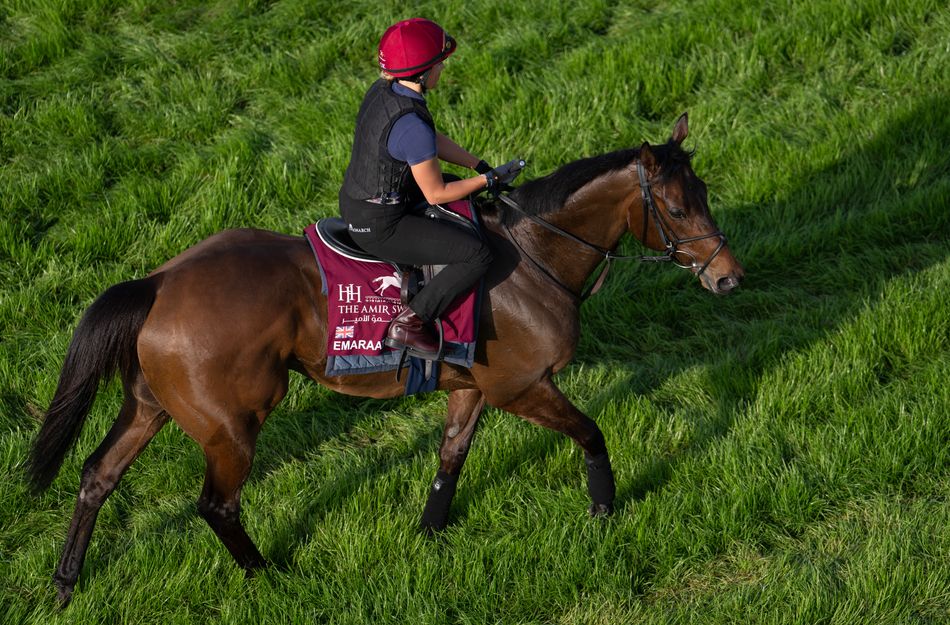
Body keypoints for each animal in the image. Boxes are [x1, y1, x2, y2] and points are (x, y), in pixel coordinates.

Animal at [26, 113, 744, 605]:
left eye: (706, 192)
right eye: (676, 207)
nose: (729, 279)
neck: (533, 256)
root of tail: (160, 281)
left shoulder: (471, 388)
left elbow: (450, 459)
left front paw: (429, 537)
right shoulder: (521, 386)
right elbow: (591, 433)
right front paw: (603, 509)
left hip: (150, 406)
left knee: (96, 475)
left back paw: (65, 581)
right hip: (232, 424)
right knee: (217, 505)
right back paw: (269, 575)